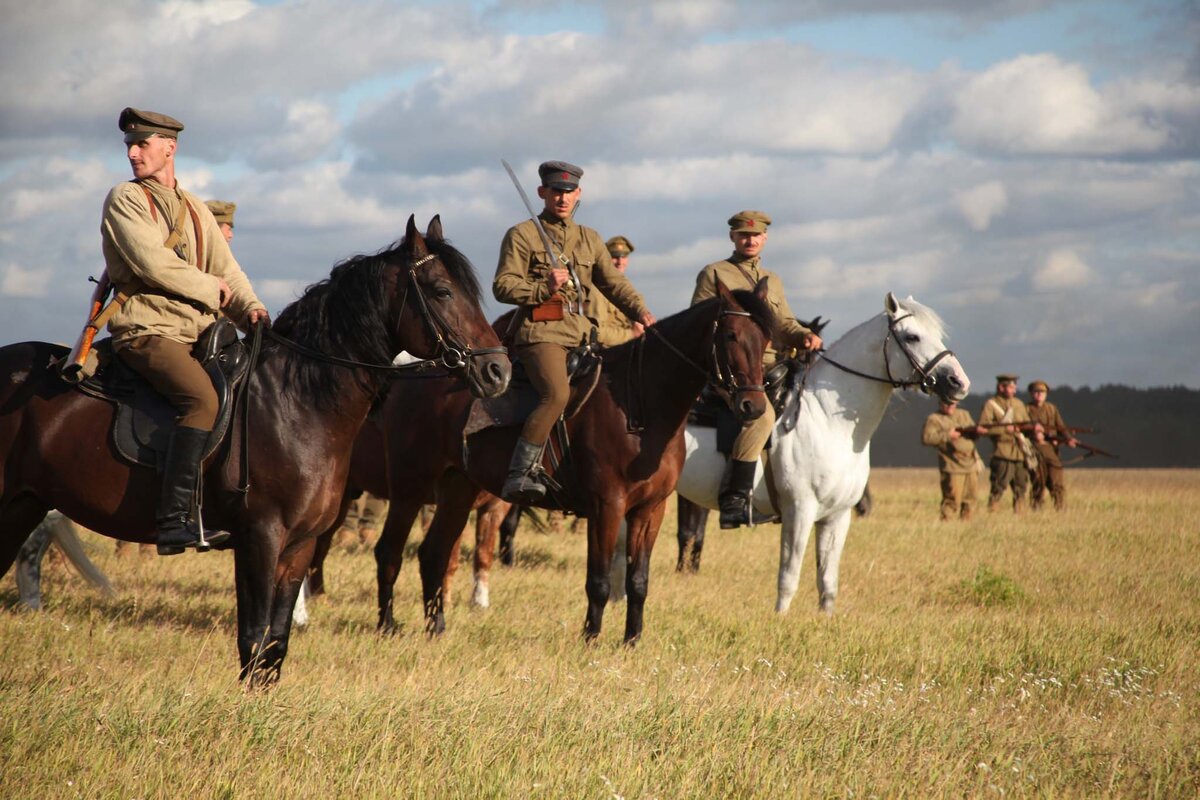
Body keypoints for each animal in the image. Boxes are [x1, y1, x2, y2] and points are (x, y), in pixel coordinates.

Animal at [0, 215, 508, 686]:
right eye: (442, 291)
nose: (498, 371)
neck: (296, 400)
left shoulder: (298, 544)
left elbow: (275, 640)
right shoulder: (261, 535)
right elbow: (255, 635)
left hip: (25, 505)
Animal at [681, 293, 969, 614]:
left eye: (938, 334)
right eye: (912, 337)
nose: (959, 382)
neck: (827, 419)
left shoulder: (837, 516)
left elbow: (828, 583)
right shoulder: (799, 511)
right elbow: (788, 578)